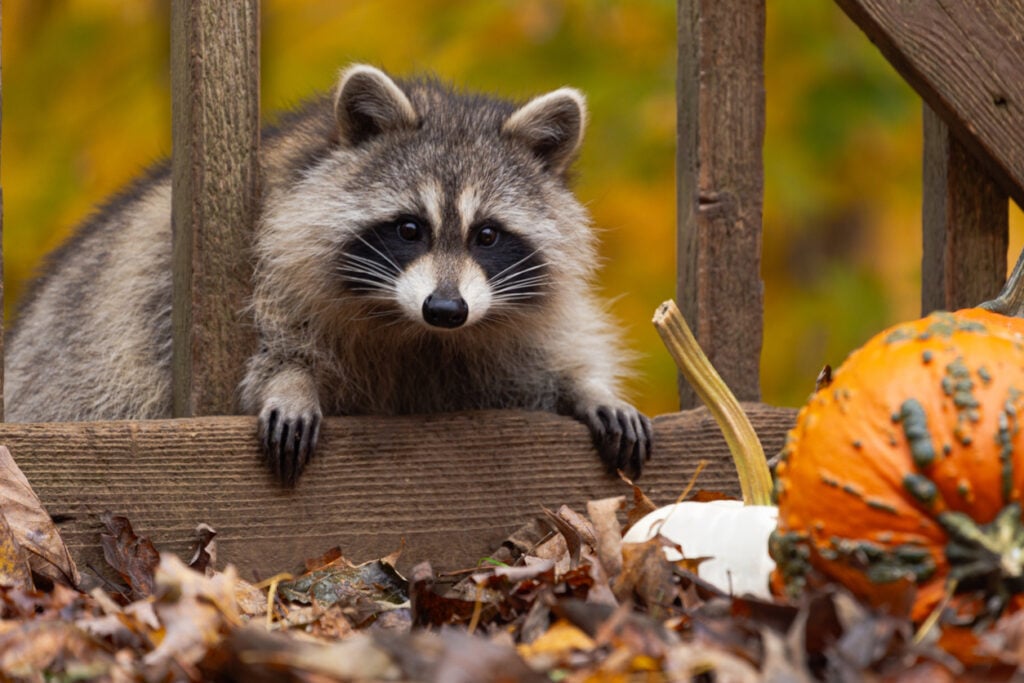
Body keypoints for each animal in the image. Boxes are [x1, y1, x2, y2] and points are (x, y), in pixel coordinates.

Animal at [6, 64, 652, 484]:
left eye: (487, 235)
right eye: (410, 229)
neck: (412, 330)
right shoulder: (241, 272)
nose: (446, 309)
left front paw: (587, 385)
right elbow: (267, 346)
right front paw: (290, 378)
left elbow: (540, 361)